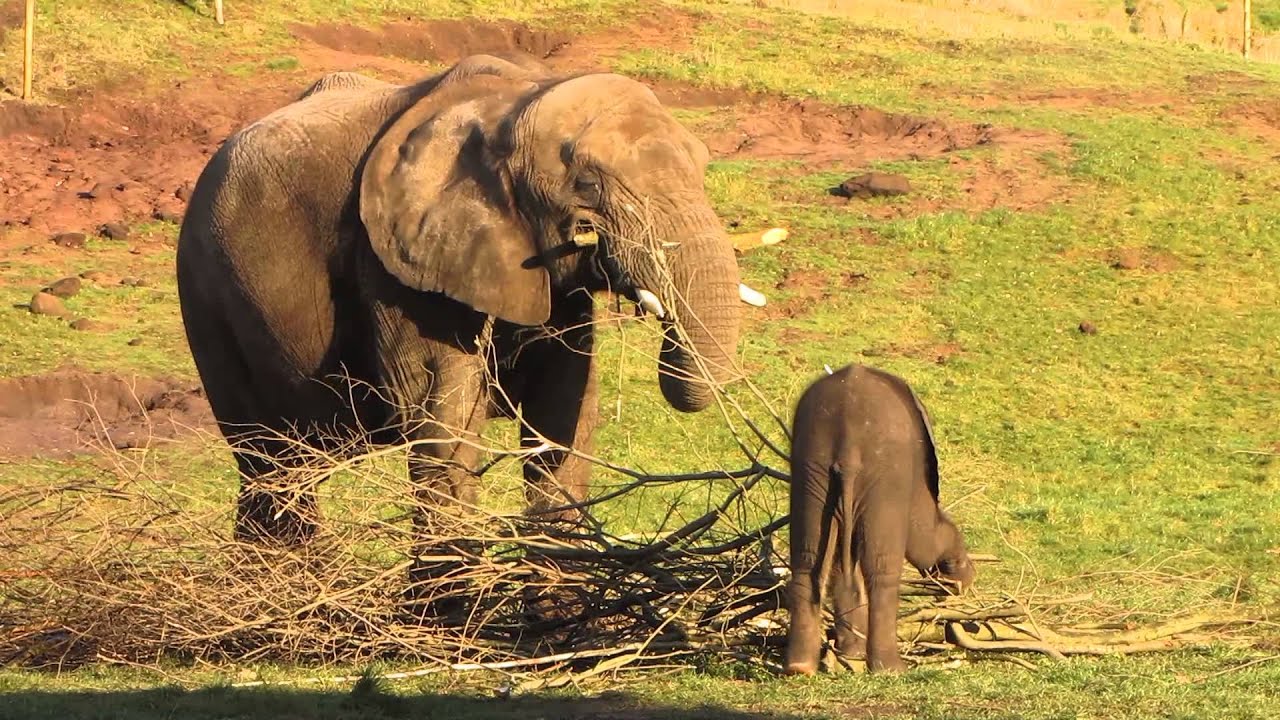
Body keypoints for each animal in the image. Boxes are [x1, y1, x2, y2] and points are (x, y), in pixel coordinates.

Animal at [175, 55, 768, 552]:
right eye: (587, 185)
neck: (514, 102)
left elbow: (567, 405)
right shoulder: (393, 260)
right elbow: (441, 408)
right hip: (207, 294)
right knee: (270, 461)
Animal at [782, 364, 975, 675]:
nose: (963, 585)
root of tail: (848, 443)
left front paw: (851, 654)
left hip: (810, 468)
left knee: (807, 563)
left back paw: (800, 667)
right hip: (886, 476)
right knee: (881, 570)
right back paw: (891, 669)